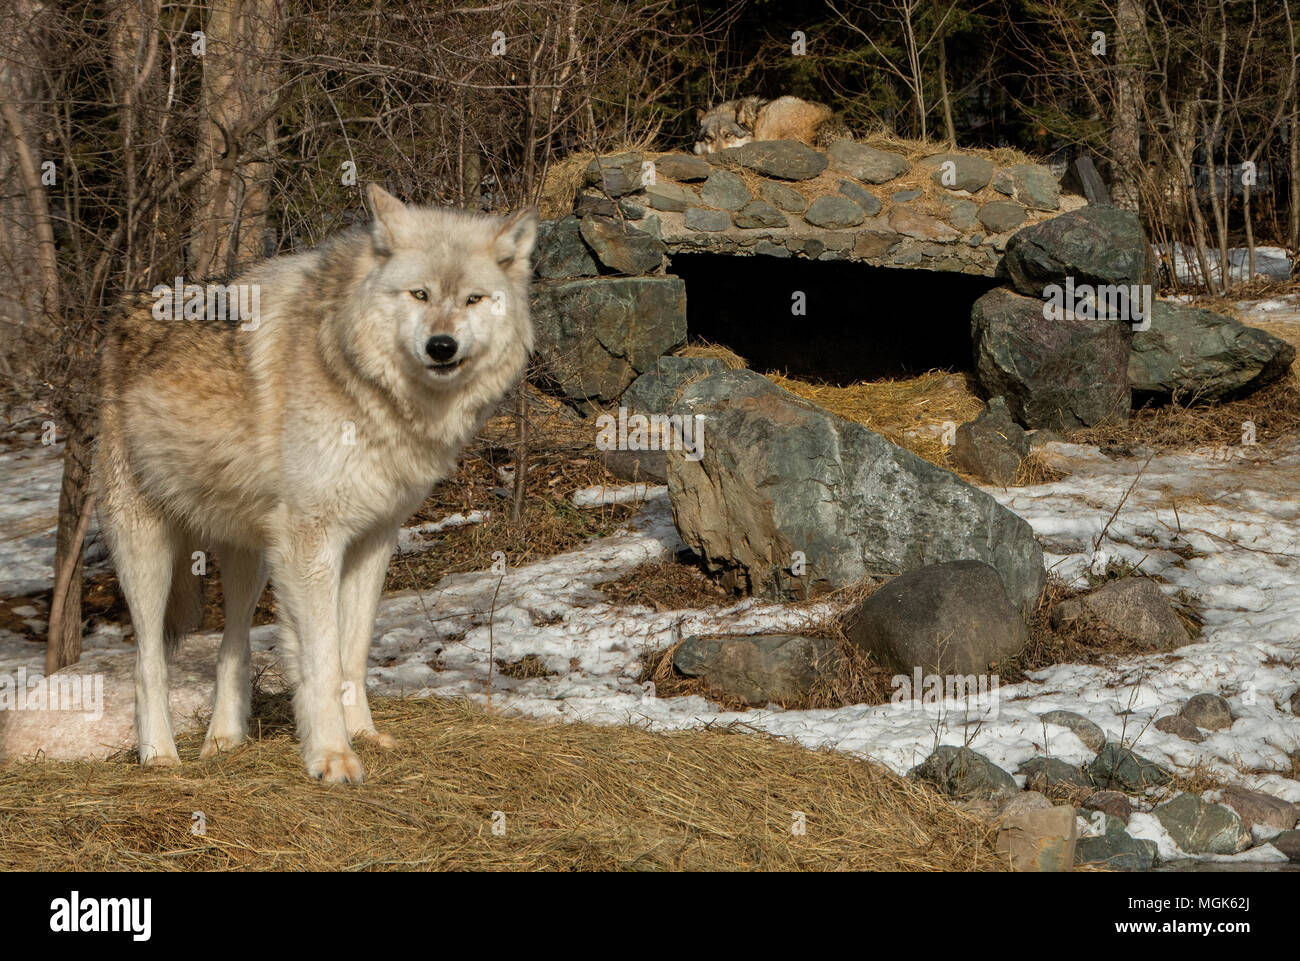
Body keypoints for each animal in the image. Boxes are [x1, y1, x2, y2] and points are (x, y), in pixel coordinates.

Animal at [95, 184, 537, 782]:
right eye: (419, 294)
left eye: (472, 299)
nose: (441, 346)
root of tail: (122, 306)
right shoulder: (313, 541)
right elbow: (322, 659)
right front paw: (330, 754)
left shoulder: (373, 537)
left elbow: (353, 653)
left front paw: (363, 734)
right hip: (147, 547)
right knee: (147, 660)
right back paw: (160, 755)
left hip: (251, 555)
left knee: (232, 644)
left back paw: (224, 740)